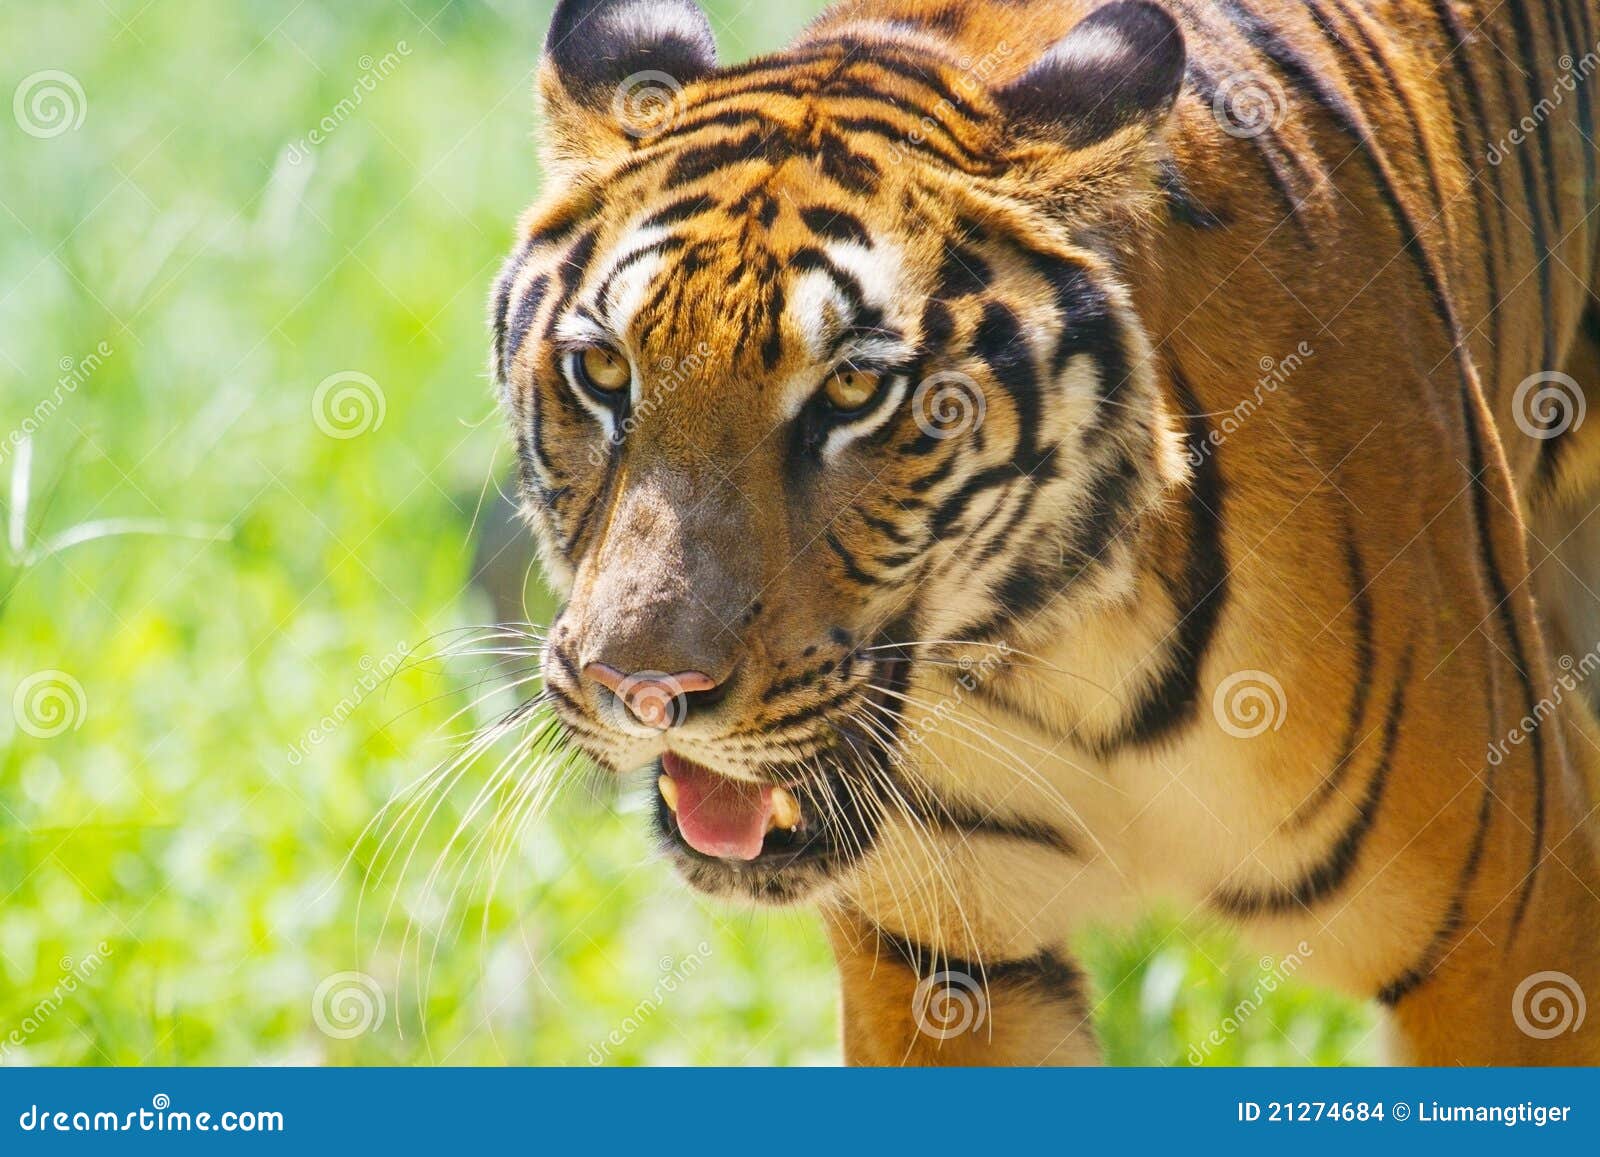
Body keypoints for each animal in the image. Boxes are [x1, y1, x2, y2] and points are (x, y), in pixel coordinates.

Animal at [491, 0, 1600, 1065]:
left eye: (852, 389)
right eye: (604, 371)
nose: (646, 692)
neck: (1057, 657)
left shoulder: (1512, 931)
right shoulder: (944, 963)